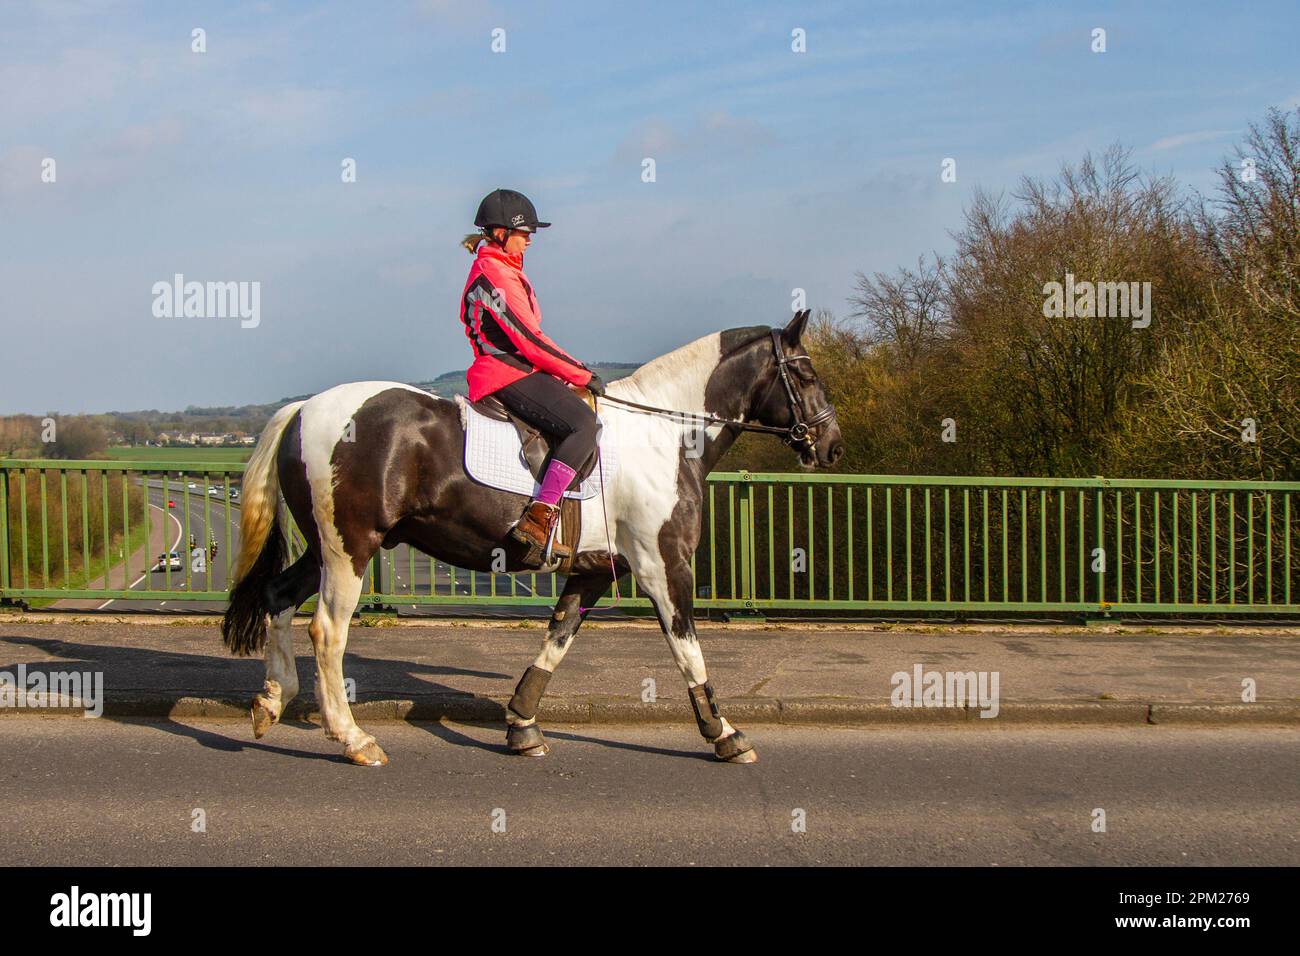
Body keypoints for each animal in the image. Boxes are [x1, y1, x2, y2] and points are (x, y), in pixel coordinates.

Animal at [220, 310, 843, 766]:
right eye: (807, 374)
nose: (833, 446)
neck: (664, 434)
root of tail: (306, 407)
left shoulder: (595, 570)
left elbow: (556, 642)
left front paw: (521, 725)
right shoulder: (663, 564)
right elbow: (688, 649)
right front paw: (724, 733)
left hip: (327, 548)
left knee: (278, 597)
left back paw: (272, 700)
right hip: (352, 545)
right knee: (328, 630)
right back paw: (352, 739)